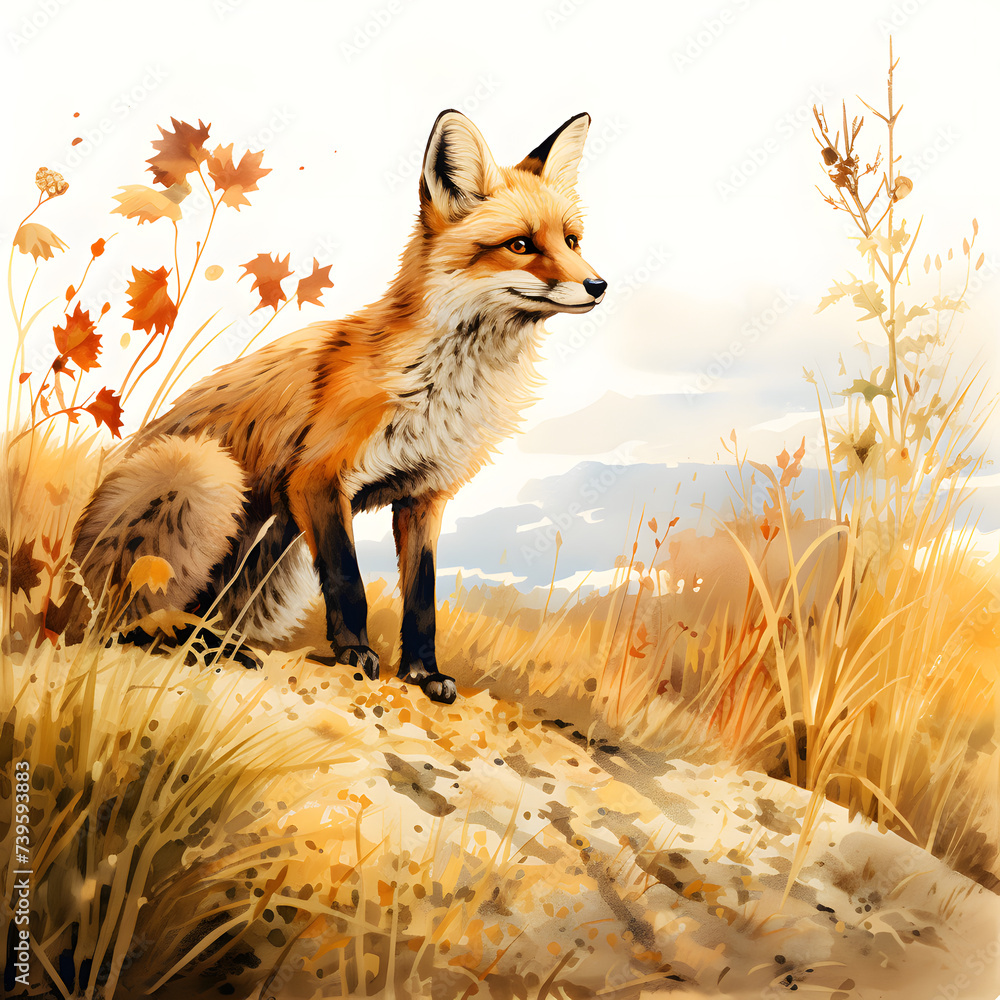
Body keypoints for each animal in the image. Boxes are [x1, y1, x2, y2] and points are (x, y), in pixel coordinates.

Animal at [65, 109, 606, 704]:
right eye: (521, 245)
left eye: (572, 240)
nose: (598, 284)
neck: (445, 387)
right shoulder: (318, 478)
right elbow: (350, 582)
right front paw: (355, 655)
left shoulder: (425, 495)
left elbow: (422, 599)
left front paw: (423, 673)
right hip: (205, 472)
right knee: (120, 621)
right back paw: (196, 644)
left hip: (275, 562)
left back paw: (219, 643)